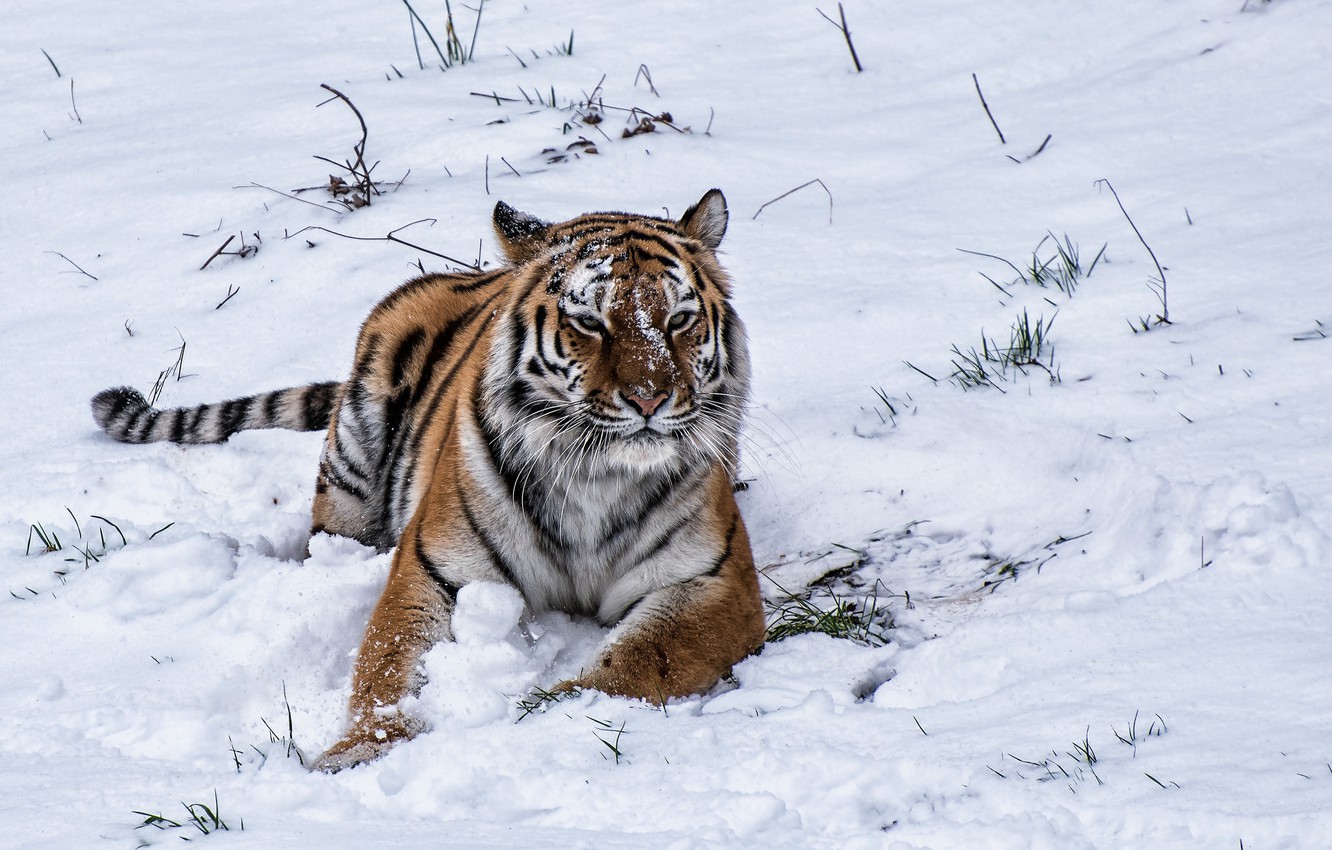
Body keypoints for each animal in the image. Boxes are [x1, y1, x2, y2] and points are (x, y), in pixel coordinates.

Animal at [90, 190, 765, 772]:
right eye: (590, 323)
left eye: (679, 320)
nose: (649, 398)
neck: (598, 473)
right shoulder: (439, 567)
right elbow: (389, 665)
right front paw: (359, 751)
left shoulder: (712, 581)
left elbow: (639, 663)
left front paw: (548, 712)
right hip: (356, 449)